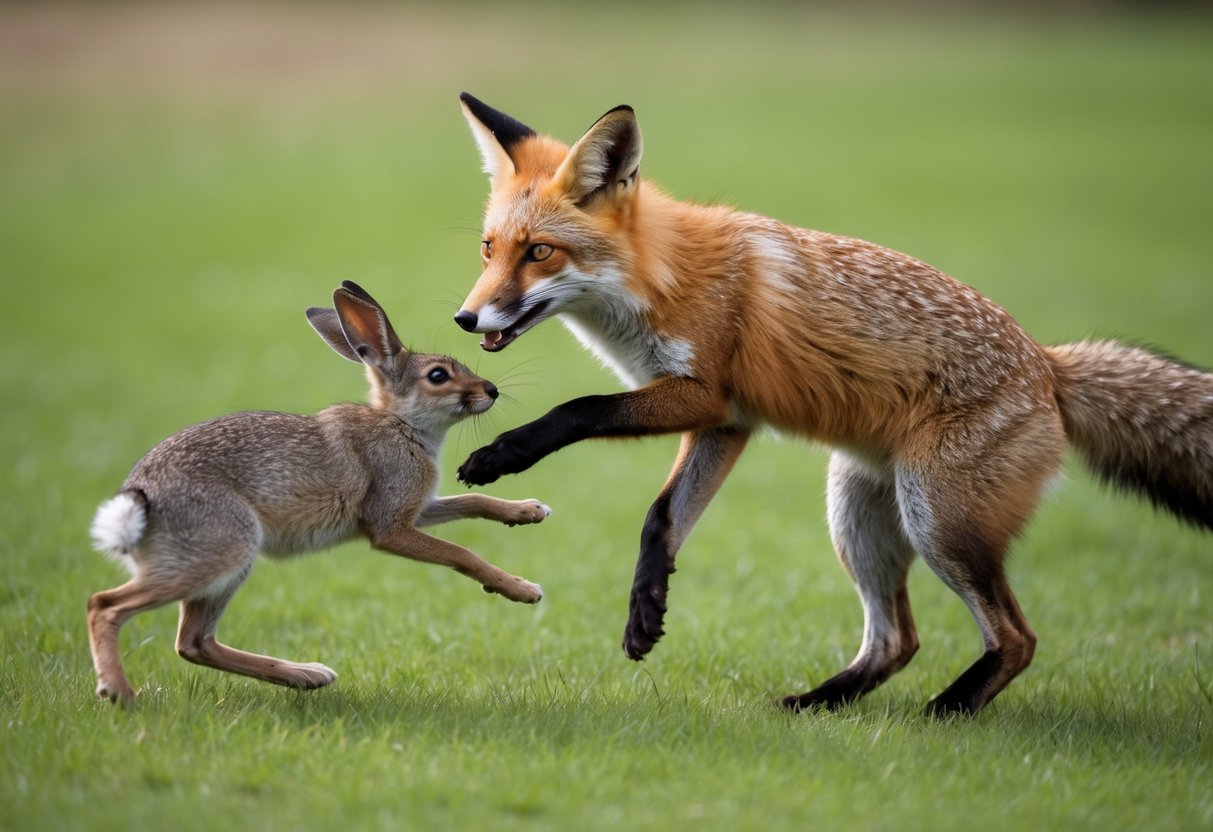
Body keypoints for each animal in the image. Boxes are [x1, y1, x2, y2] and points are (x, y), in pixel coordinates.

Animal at [450, 92, 1213, 716]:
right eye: (488, 249)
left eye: (539, 252)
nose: (465, 318)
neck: (660, 278)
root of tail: (1048, 365)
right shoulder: (726, 421)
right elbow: (661, 520)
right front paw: (645, 612)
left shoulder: (703, 392)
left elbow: (578, 408)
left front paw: (500, 455)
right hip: (857, 516)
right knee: (897, 641)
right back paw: (819, 704)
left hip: (936, 519)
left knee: (1016, 638)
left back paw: (945, 712)